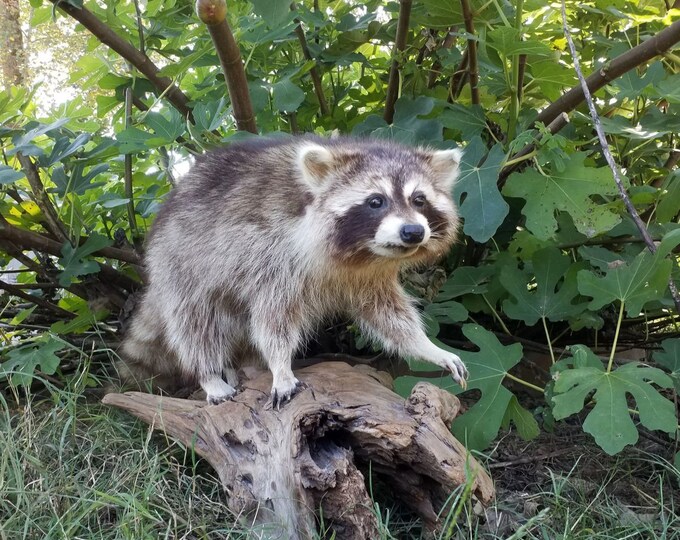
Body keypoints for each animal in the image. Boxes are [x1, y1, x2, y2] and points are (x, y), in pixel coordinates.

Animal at [121, 136, 468, 406]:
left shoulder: (368, 277)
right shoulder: (271, 256)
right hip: (181, 264)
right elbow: (273, 320)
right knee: (195, 323)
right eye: (375, 201)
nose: (413, 232)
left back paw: (238, 367)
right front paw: (280, 366)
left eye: (419, 199)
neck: (361, 254)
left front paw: (428, 347)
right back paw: (209, 374)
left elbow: (389, 315)